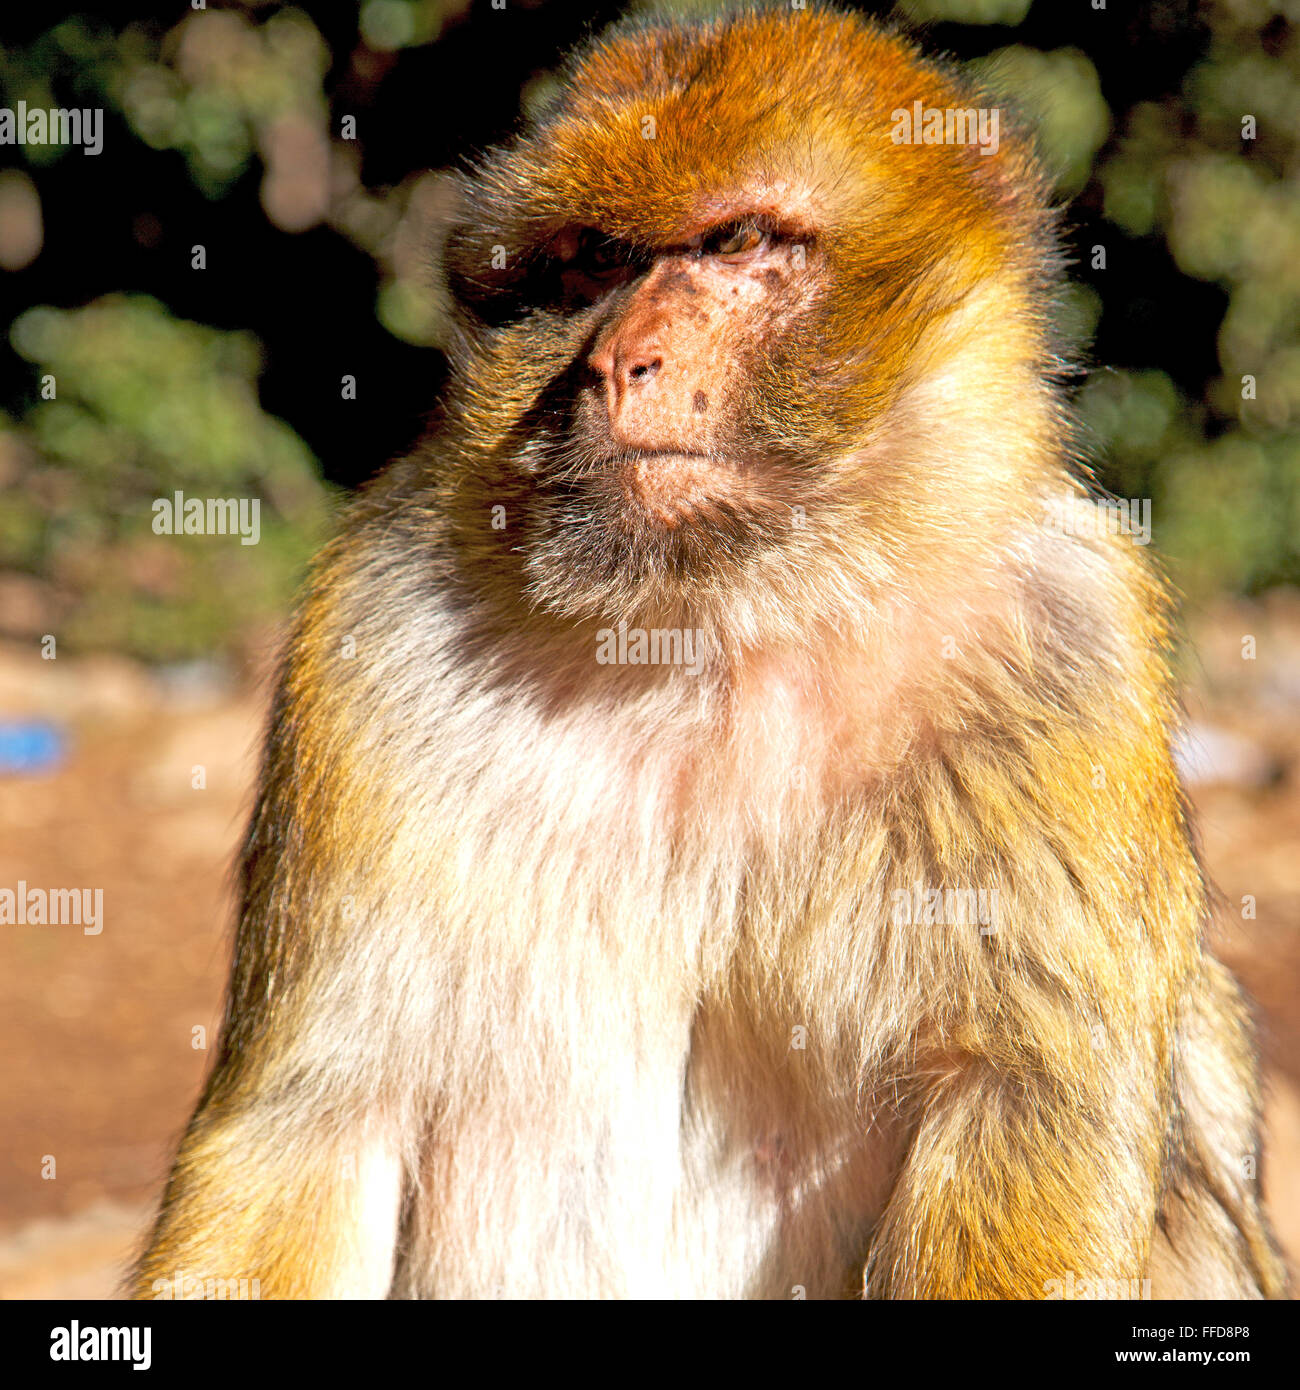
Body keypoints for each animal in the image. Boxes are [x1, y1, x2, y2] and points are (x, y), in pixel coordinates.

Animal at [133, 4, 1287, 1300]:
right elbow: (314, 1123)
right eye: (591, 264)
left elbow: (1030, 1105)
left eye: (737, 242)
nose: (616, 362)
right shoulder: (373, 636)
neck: (720, 627)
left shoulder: (1076, 648)